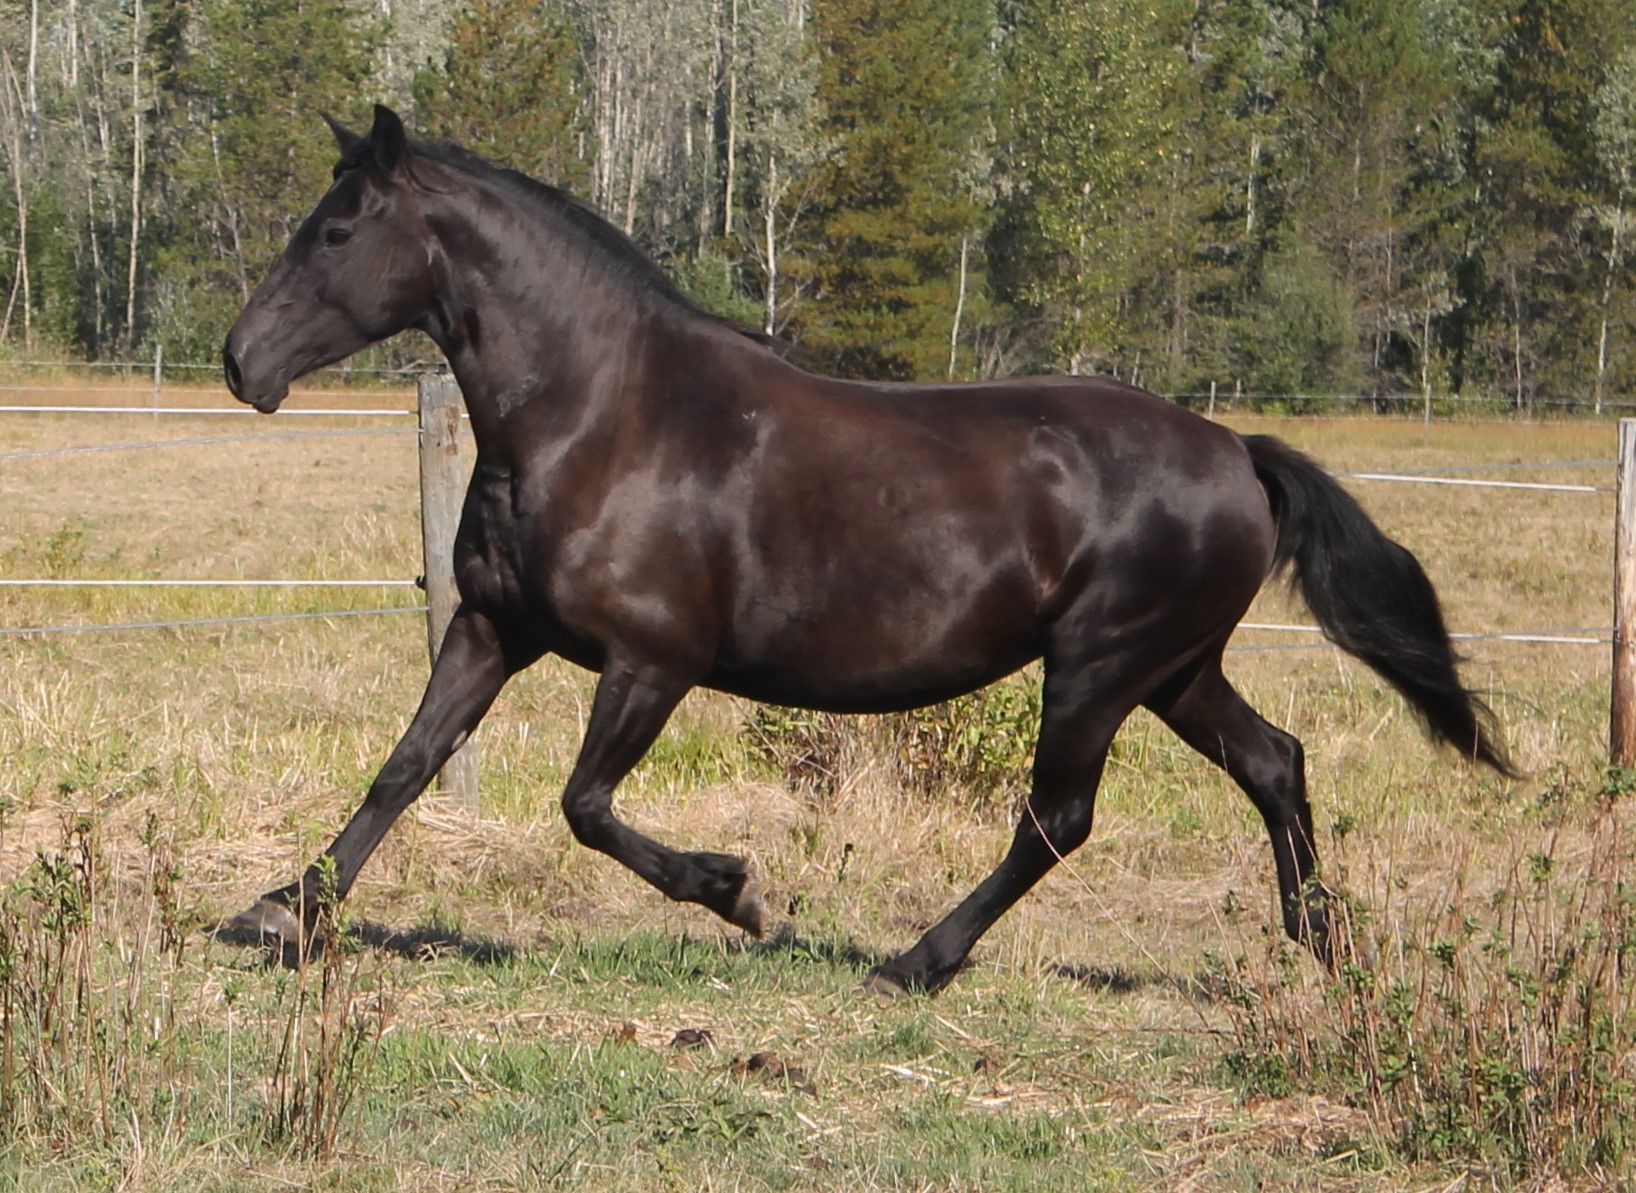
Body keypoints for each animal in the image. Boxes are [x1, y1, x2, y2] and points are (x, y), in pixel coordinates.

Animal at [221, 105, 1510, 995]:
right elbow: (405, 765)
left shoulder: (653, 660)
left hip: (1100, 669)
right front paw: (283, 911)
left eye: (337, 229)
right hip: (1173, 671)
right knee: (1274, 761)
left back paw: (913, 962)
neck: (601, 416)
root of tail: (1236, 450)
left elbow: (584, 802)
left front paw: (737, 894)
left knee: (1057, 817)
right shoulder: (492, 627)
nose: (242, 362)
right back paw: (1322, 942)